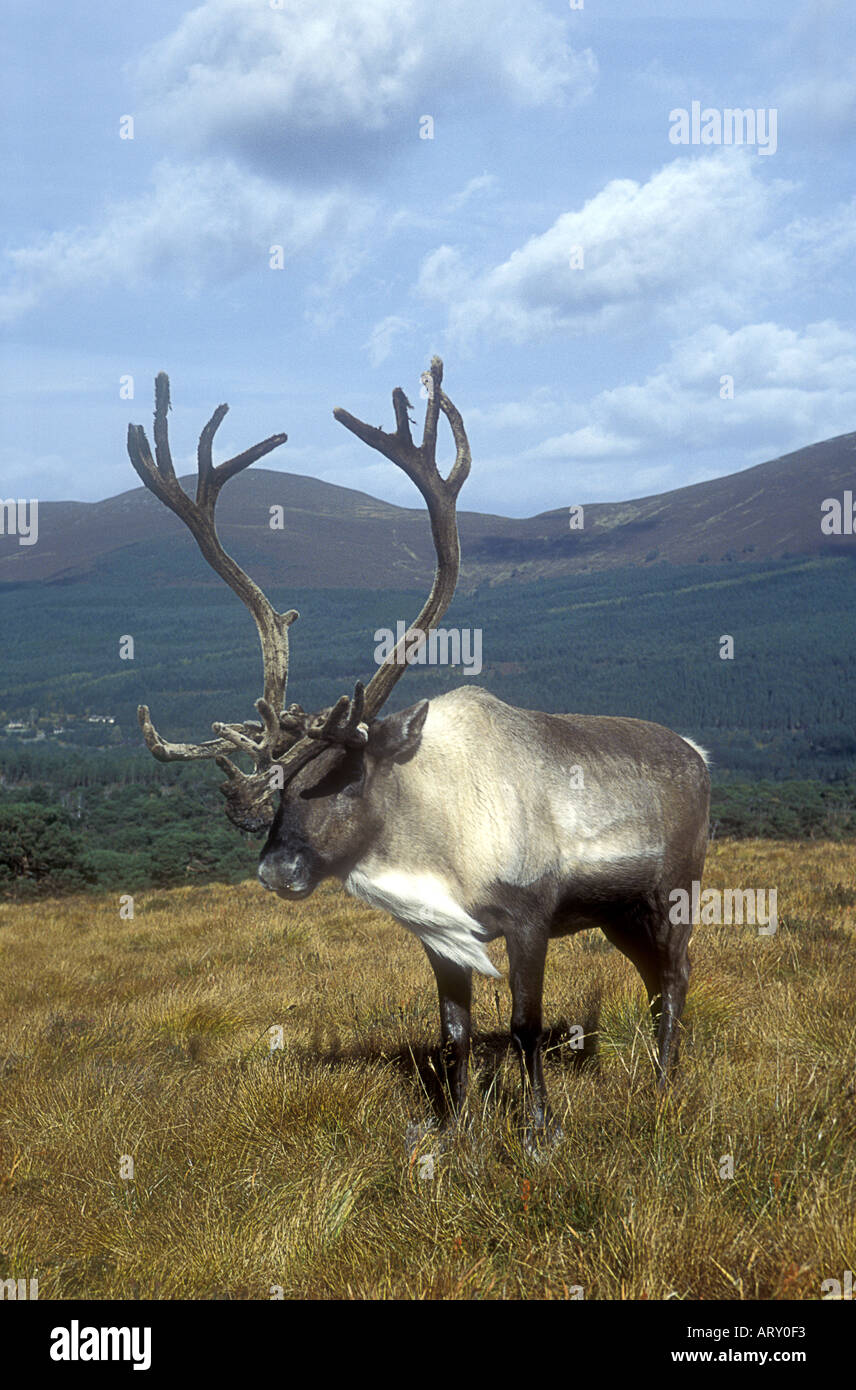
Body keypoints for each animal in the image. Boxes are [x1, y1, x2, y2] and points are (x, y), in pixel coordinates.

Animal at [127, 360, 710, 1151]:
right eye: (281, 785)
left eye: (347, 778)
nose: (276, 870)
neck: (431, 829)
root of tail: (698, 753)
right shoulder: (442, 936)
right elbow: (453, 1034)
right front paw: (456, 1132)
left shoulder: (528, 919)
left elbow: (524, 1028)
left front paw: (538, 1133)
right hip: (618, 913)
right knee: (653, 983)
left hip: (674, 891)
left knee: (676, 978)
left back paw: (664, 1087)